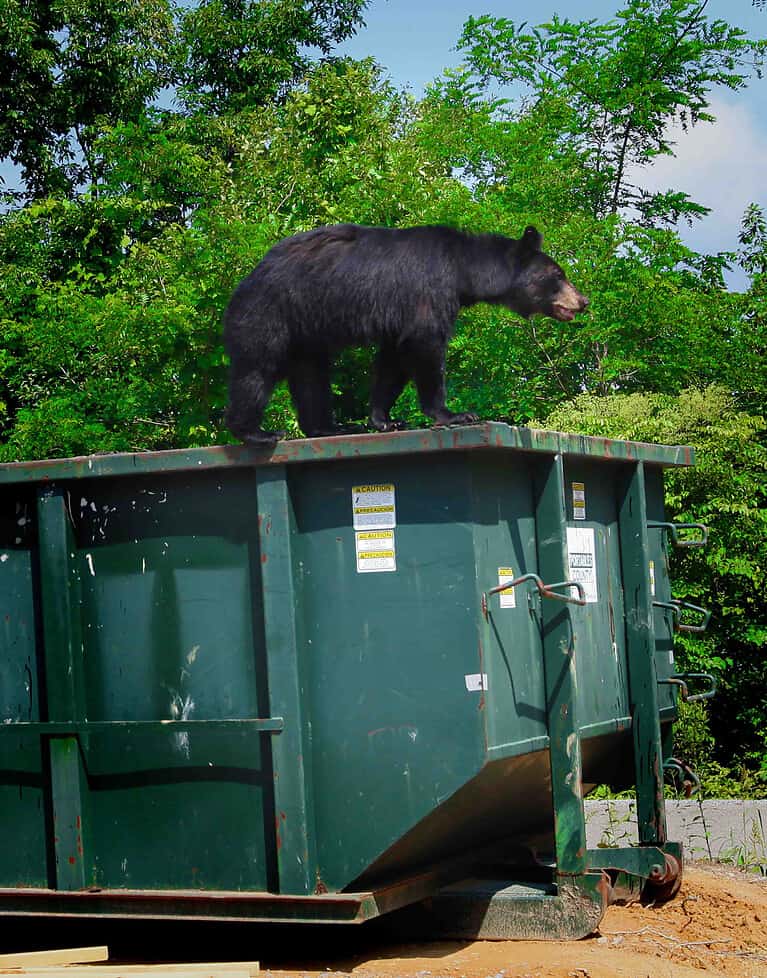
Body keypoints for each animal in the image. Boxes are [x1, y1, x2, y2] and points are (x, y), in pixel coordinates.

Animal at [223, 223, 588, 444]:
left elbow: (393, 360)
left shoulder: (396, 315)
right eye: (558, 275)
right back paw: (256, 432)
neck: (463, 270)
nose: (583, 301)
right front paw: (452, 414)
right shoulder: (427, 291)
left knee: (311, 375)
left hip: (307, 330)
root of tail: (246, 280)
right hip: (269, 313)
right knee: (256, 369)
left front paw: (384, 419)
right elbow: (426, 345)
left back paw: (329, 426)